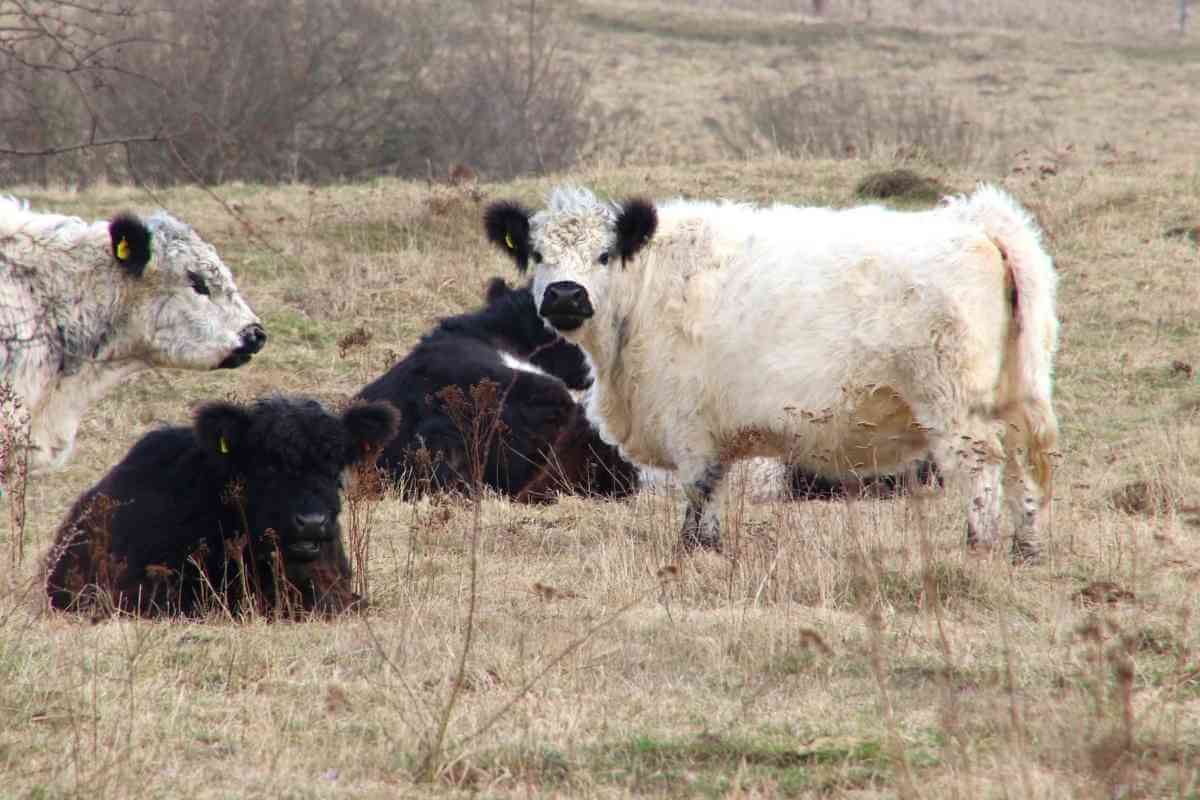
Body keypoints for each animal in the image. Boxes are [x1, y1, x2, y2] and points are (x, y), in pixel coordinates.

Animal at [484, 184, 1059, 560]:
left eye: (604, 255)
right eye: (538, 254)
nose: (565, 295)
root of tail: (976, 223)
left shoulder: (689, 423)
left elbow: (700, 491)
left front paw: (696, 553)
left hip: (956, 405)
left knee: (984, 468)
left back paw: (978, 547)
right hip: (1013, 395)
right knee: (1023, 469)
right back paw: (1025, 549)